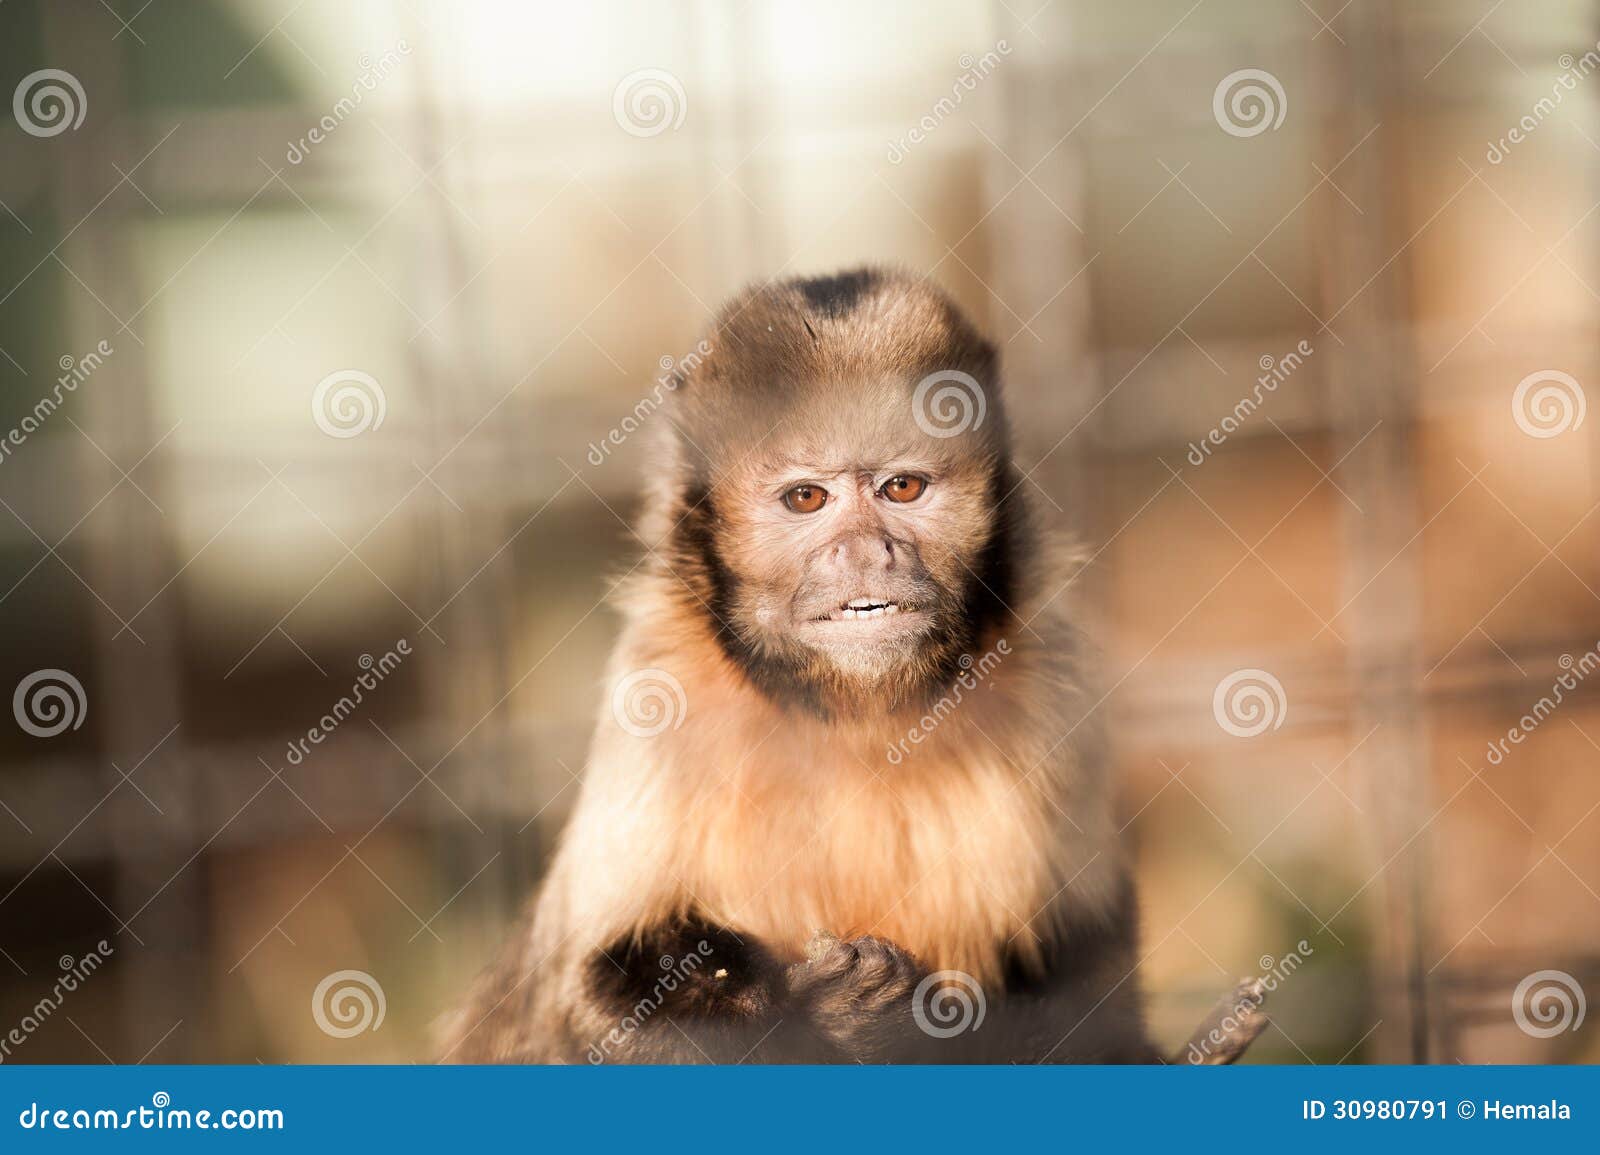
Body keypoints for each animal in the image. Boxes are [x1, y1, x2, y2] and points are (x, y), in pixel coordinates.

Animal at [437, 266, 1160, 1064]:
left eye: (902, 487)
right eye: (807, 497)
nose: (867, 551)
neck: (853, 717)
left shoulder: (1048, 678)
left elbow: (1095, 996)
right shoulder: (657, 687)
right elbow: (584, 1011)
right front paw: (832, 1017)